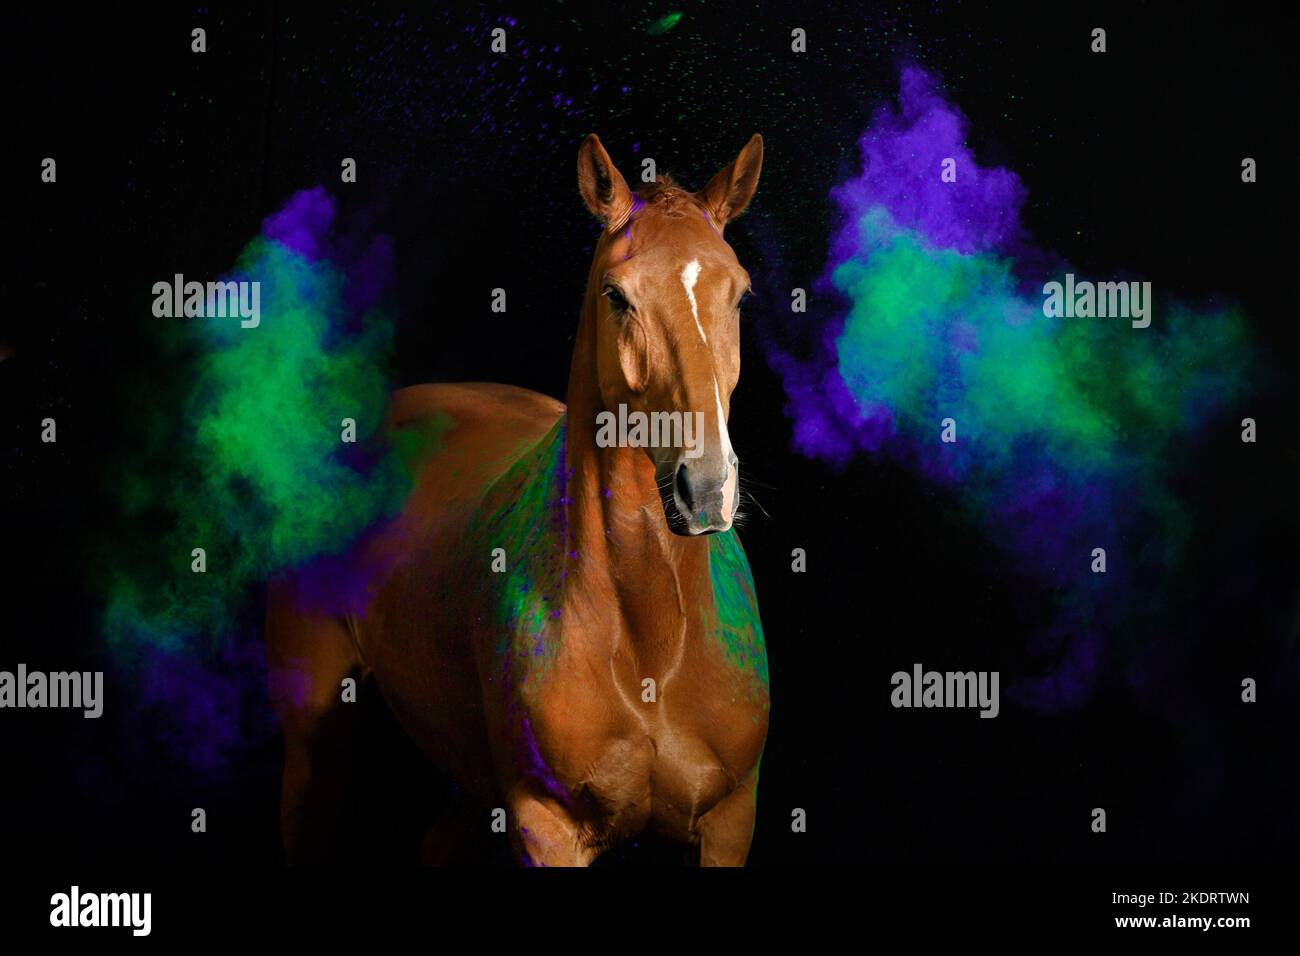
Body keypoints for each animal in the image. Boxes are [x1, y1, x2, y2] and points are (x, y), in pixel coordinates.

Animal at [265, 134, 769, 866]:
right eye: (618, 297)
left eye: (739, 296)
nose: (705, 490)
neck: (654, 645)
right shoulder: (545, 822)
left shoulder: (730, 822)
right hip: (314, 745)